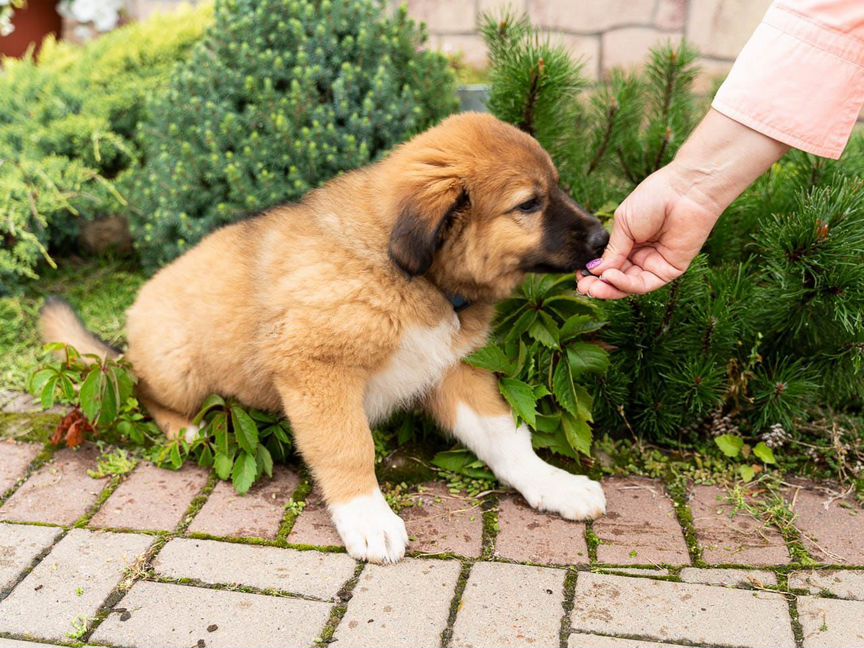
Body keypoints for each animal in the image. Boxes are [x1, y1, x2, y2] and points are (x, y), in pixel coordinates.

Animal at [40, 114, 608, 564]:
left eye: (558, 188)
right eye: (529, 205)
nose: (604, 237)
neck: (414, 278)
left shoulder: (453, 369)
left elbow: (506, 437)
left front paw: (552, 484)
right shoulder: (317, 369)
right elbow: (348, 447)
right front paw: (368, 518)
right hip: (179, 365)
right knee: (143, 390)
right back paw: (188, 430)